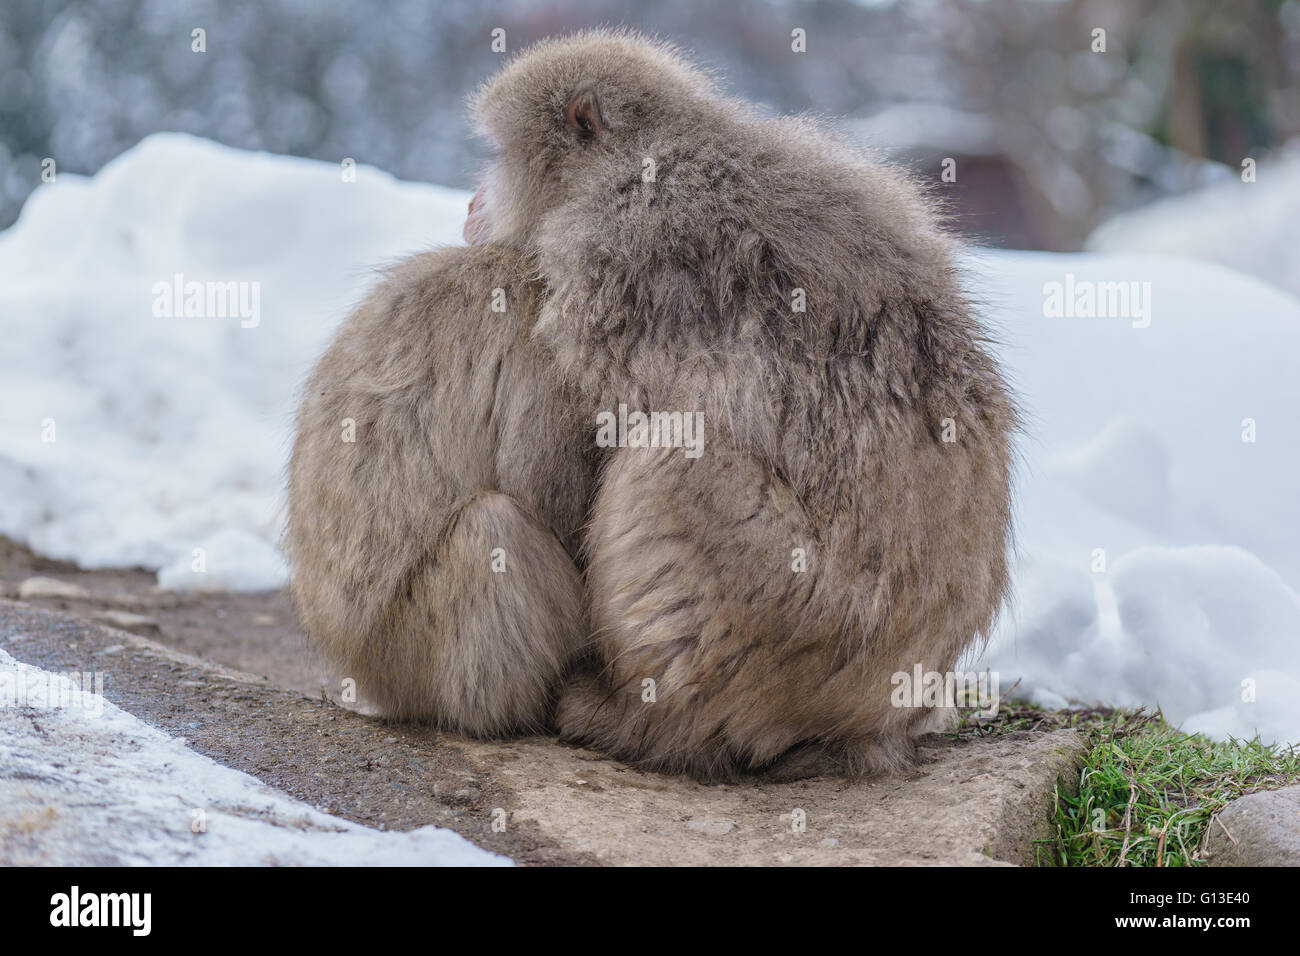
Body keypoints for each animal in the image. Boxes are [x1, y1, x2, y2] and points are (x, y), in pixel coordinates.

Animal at [465, 29, 1017, 780]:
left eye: (496, 156)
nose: (473, 201)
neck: (640, 156)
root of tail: (875, 710)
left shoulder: (609, 253)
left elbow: (612, 416)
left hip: (789, 625)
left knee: (672, 458)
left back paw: (648, 723)